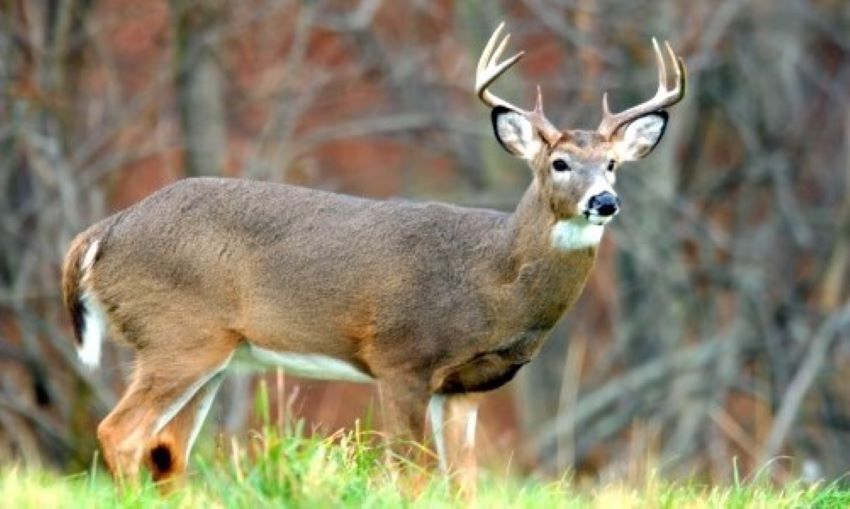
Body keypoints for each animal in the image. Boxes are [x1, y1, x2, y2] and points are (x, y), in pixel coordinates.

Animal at [61, 23, 685, 489]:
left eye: (612, 164)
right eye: (559, 163)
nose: (604, 201)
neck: (494, 280)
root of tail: (104, 231)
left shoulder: (464, 387)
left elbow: (462, 482)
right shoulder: (401, 357)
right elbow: (410, 472)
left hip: (215, 352)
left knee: (167, 449)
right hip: (178, 334)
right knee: (121, 433)